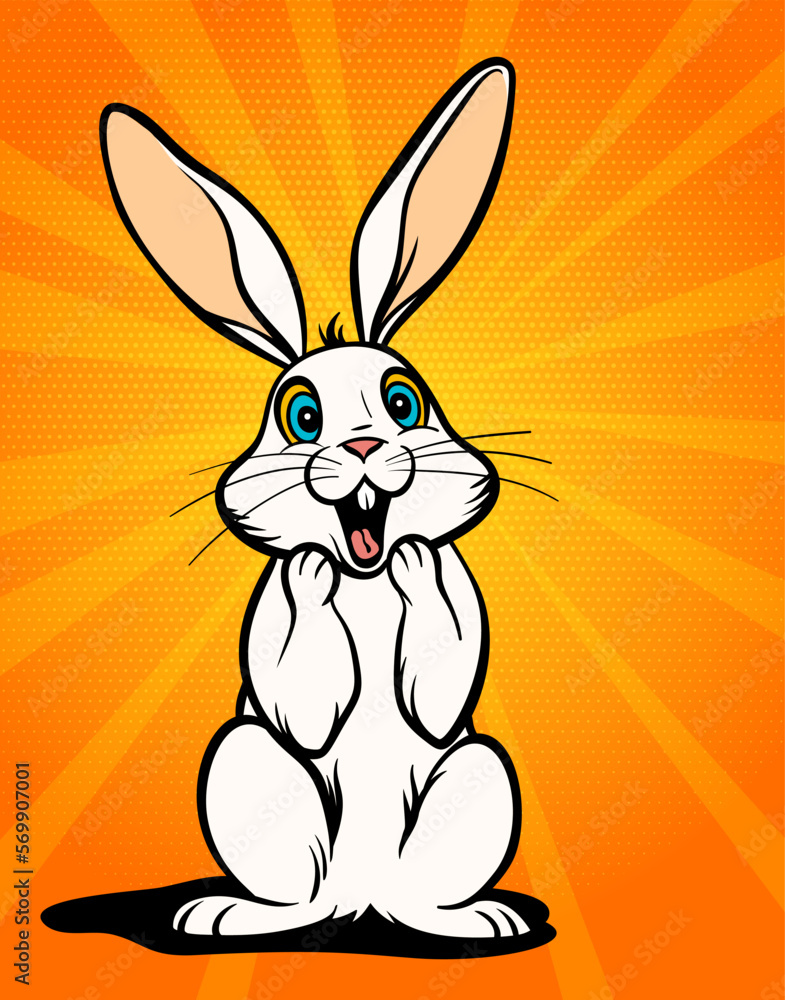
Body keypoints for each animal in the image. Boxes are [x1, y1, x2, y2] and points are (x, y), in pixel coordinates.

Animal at [100, 57, 535, 941]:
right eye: (302, 417)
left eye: (402, 403)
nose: (364, 446)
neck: (363, 582)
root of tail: (361, 898)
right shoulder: (273, 653)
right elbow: (300, 698)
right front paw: (310, 574)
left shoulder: (455, 653)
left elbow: (438, 690)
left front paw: (412, 561)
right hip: (245, 765)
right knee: (292, 896)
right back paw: (225, 917)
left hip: (478, 777)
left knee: (426, 893)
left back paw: (476, 922)